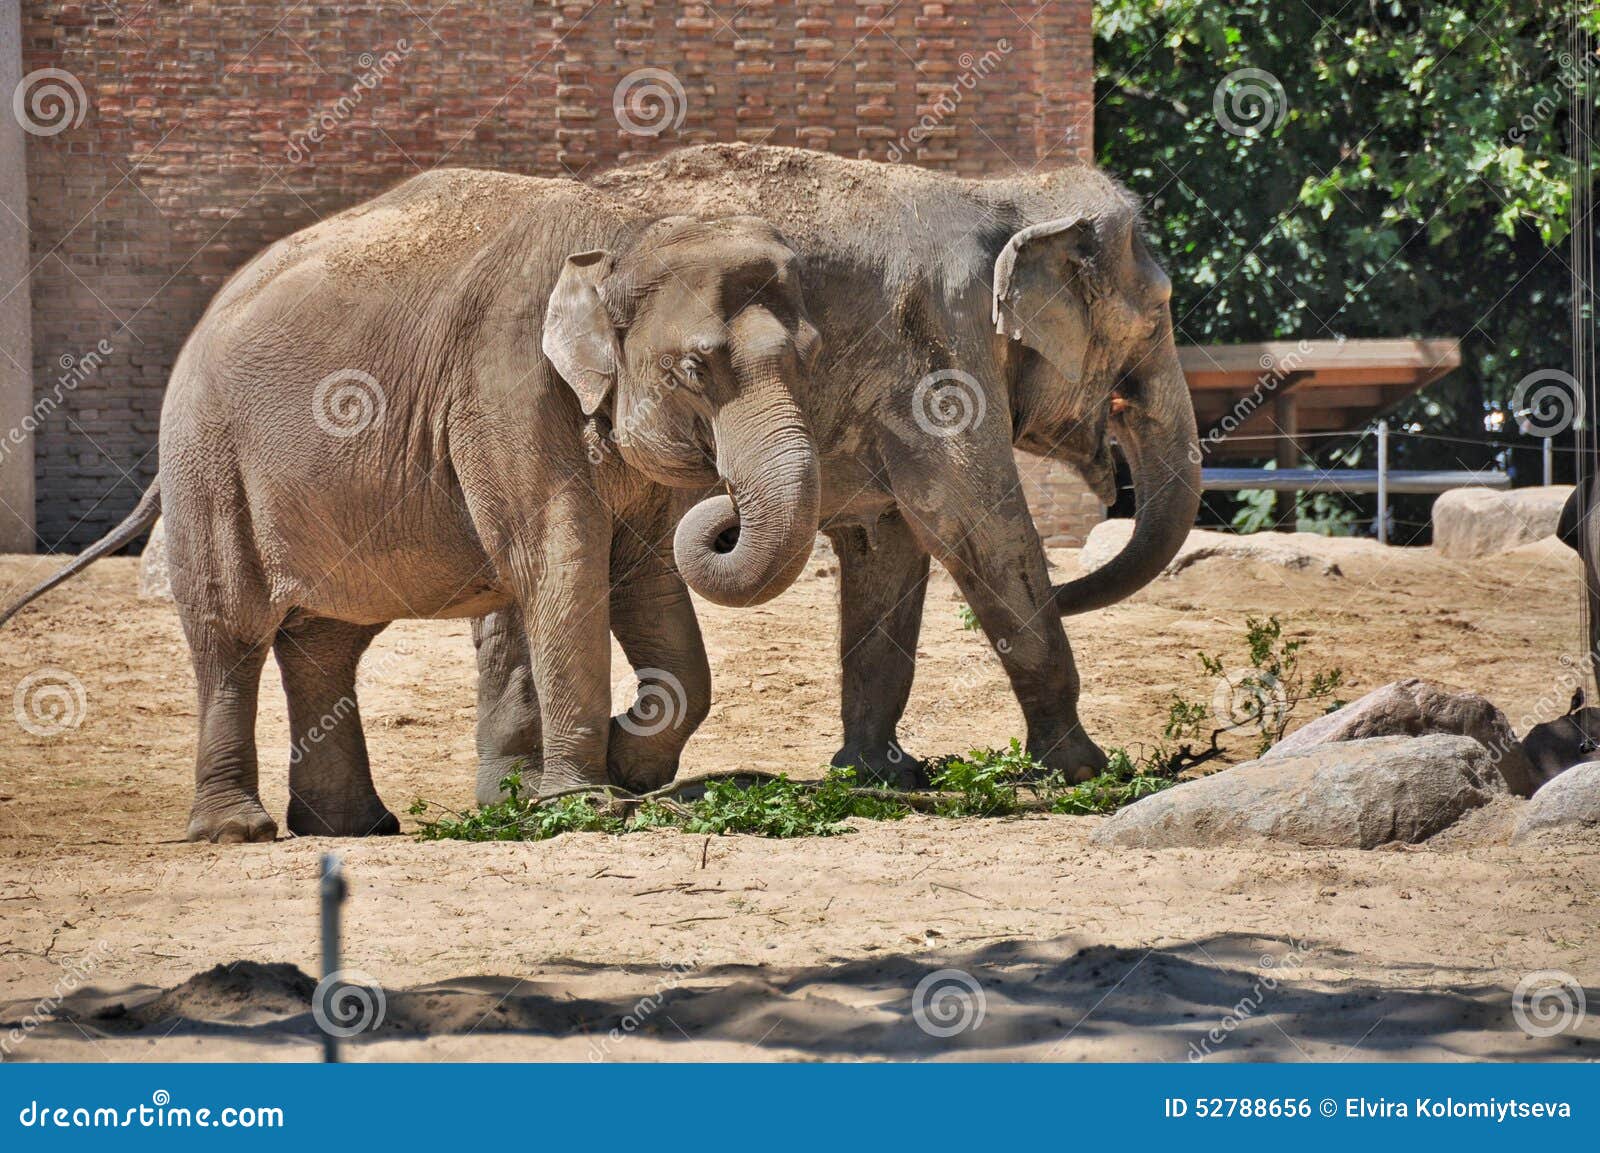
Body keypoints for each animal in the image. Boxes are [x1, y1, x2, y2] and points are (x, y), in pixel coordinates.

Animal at [0, 168, 824, 842]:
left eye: (812, 358)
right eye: (693, 368)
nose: (724, 509)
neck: (624, 233)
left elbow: (648, 581)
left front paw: (618, 764)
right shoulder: (505, 385)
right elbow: (563, 561)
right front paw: (585, 804)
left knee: (325, 642)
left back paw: (355, 826)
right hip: (207, 462)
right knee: (230, 631)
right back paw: (238, 830)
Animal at [470, 144, 1202, 802]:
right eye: (1156, 317)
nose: (1069, 586)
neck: (1006, 195)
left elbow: (889, 544)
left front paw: (879, 774)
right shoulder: (944, 351)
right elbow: (979, 524)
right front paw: (1085, 771)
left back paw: (522, 790)